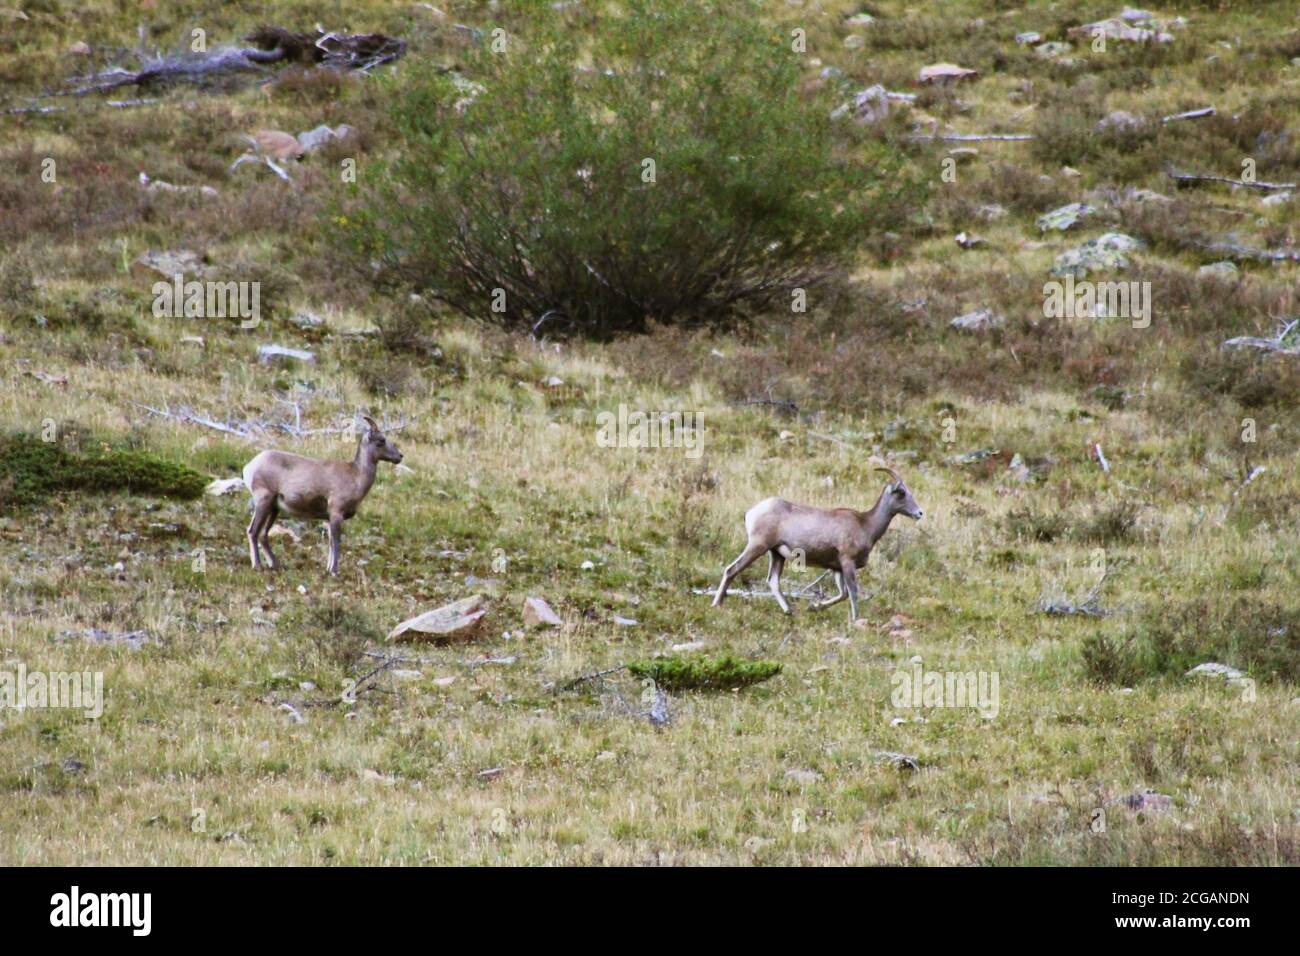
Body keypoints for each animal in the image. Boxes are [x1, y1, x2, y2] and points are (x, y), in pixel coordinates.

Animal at [242, 415, 403, 575]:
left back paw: (275, 565)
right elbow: (336, 542)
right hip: (264, 501)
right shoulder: (336, 514)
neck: (356, 476)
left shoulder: (329, 519)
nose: (400, 456)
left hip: (273, 509)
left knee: (263, 534)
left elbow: (331, 543)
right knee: (253, 531)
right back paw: (257, 566)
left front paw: (329, 569)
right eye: (381, 440)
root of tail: (250, 466)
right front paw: (334, 572)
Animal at [711, 466, 923, 621]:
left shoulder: (837, 568)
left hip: (776, 554)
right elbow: (853, 593)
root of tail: (751, 512)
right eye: (901, 492)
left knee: (773, 581)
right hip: (757, 547)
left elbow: (842, 594)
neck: (866, 525)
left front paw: (814, 607)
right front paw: (856, 619)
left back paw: (789, 611)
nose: (919, 513)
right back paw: (717, 604)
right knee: (731, 570)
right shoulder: (847, 562)